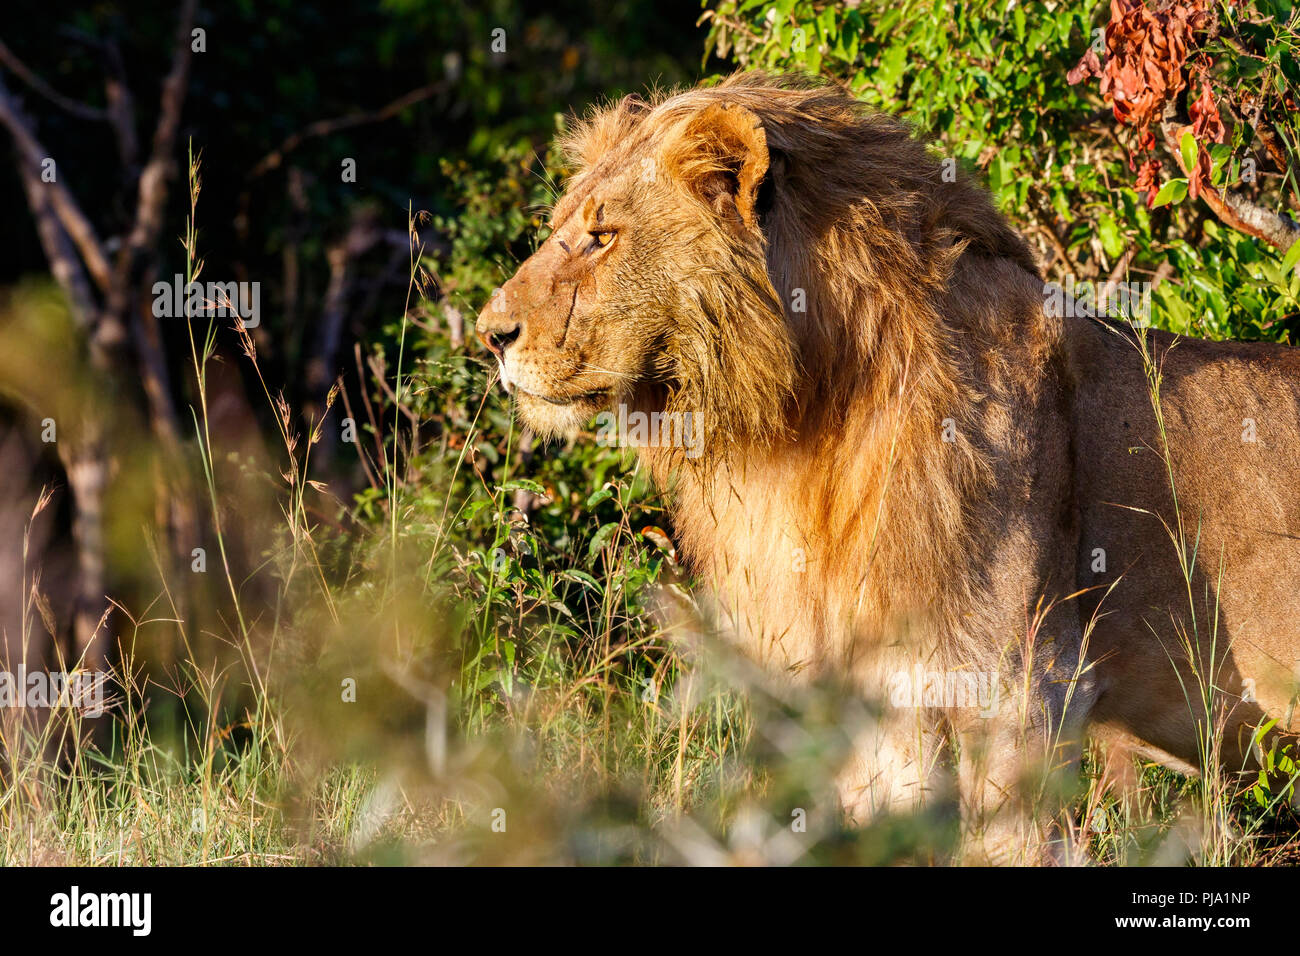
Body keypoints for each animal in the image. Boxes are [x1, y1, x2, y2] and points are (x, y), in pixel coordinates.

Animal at [474, 71, 1300, 862]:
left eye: (602, 237)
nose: (490, 334)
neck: (808, 425)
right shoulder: (866, 690)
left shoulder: (1019, 679)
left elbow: (1010, 841)